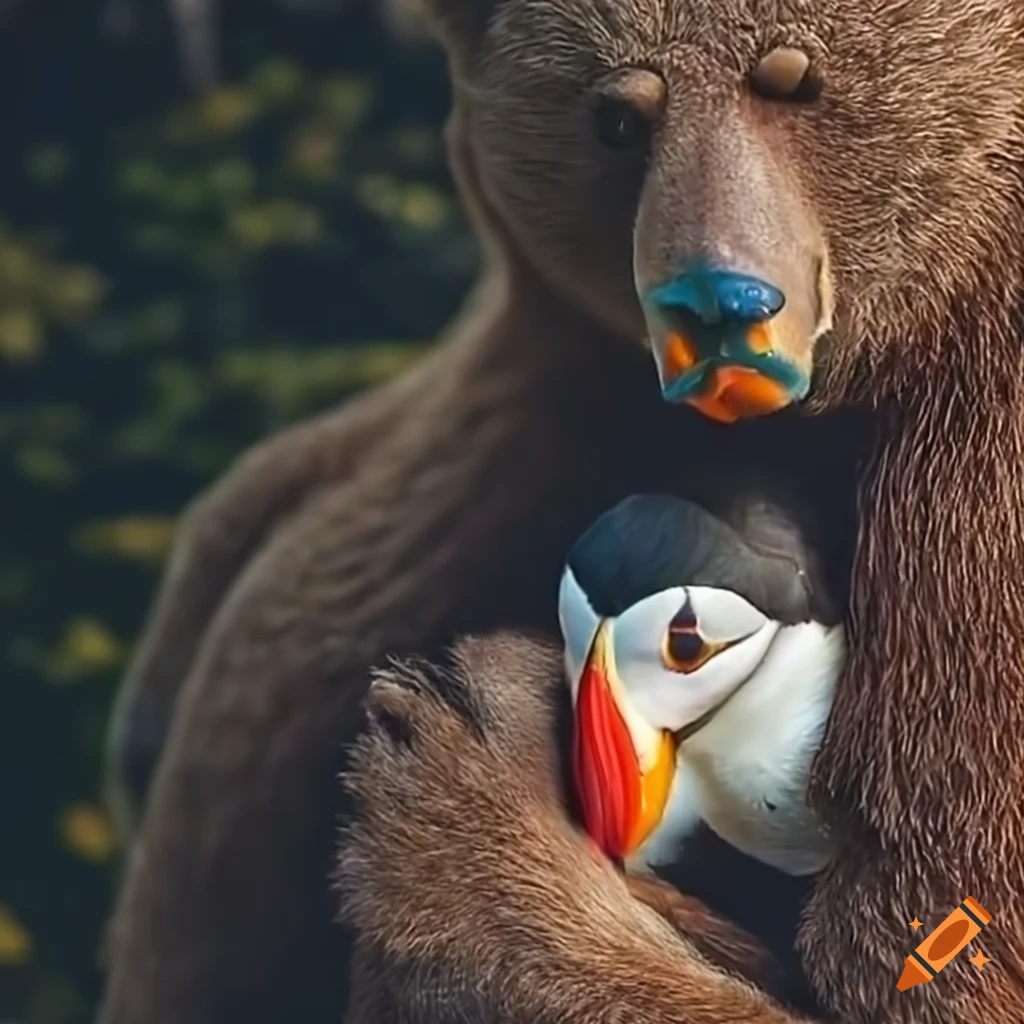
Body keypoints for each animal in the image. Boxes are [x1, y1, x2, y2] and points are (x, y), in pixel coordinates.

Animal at [101, 0, 1024, 1022]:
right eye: (617, 118)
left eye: (793, 81)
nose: (717, 303)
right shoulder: (565, 368)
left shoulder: (972, 503)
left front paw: (462, 777)